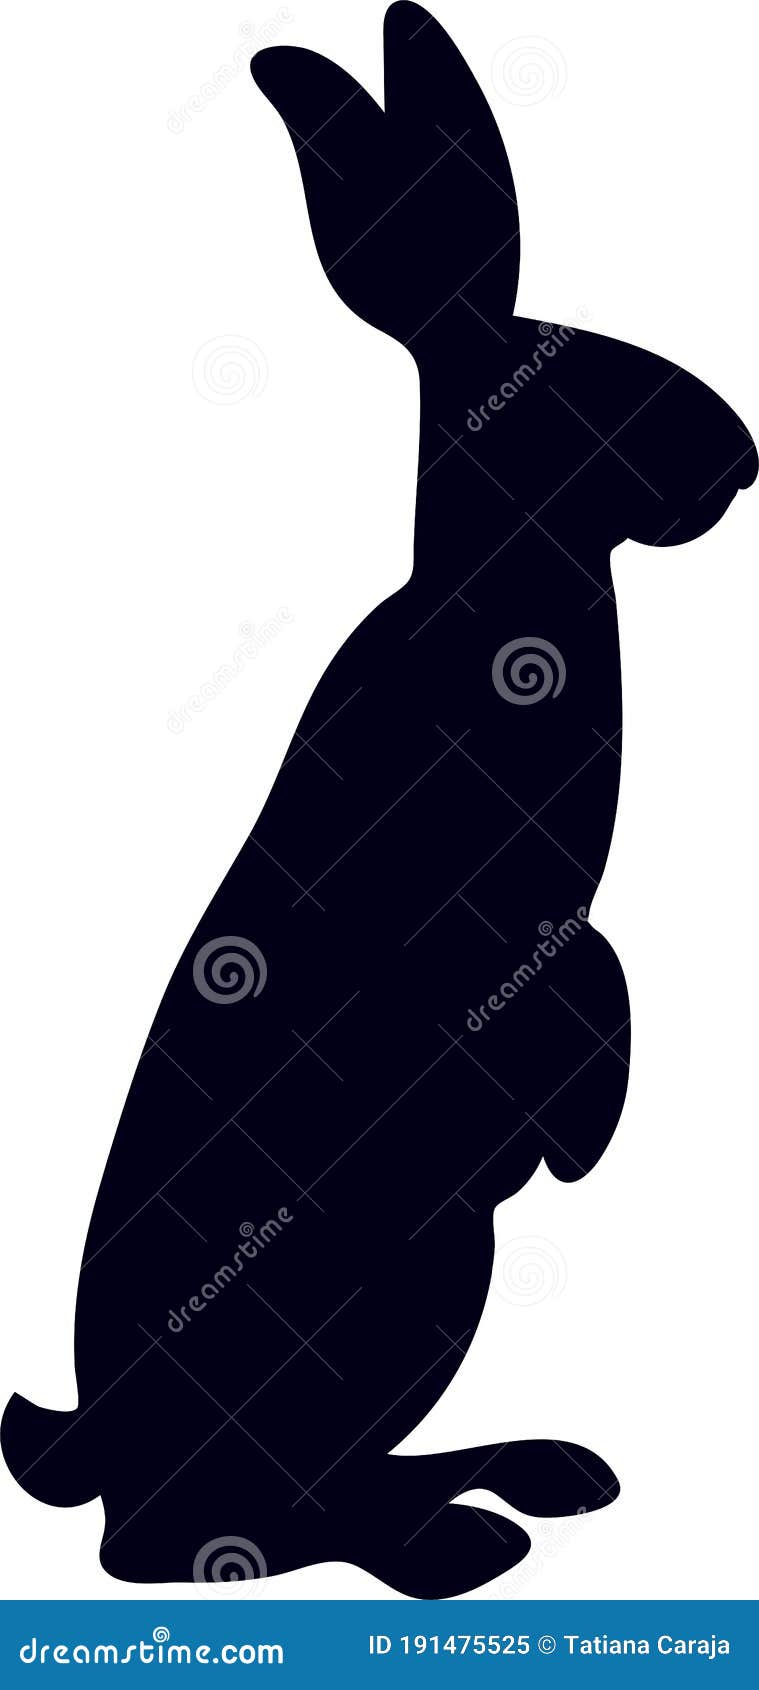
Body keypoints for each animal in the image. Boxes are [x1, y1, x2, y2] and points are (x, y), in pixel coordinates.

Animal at [2, 3, 755, 1599]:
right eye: (574, 375)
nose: (739, 455)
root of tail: (85, 1450)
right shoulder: (472, 915)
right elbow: (577, 974)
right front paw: (578, 1131)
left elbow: (596, 972)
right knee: (185, 1544)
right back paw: (450, 1546)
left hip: (438, 1288)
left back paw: (532, 1483)